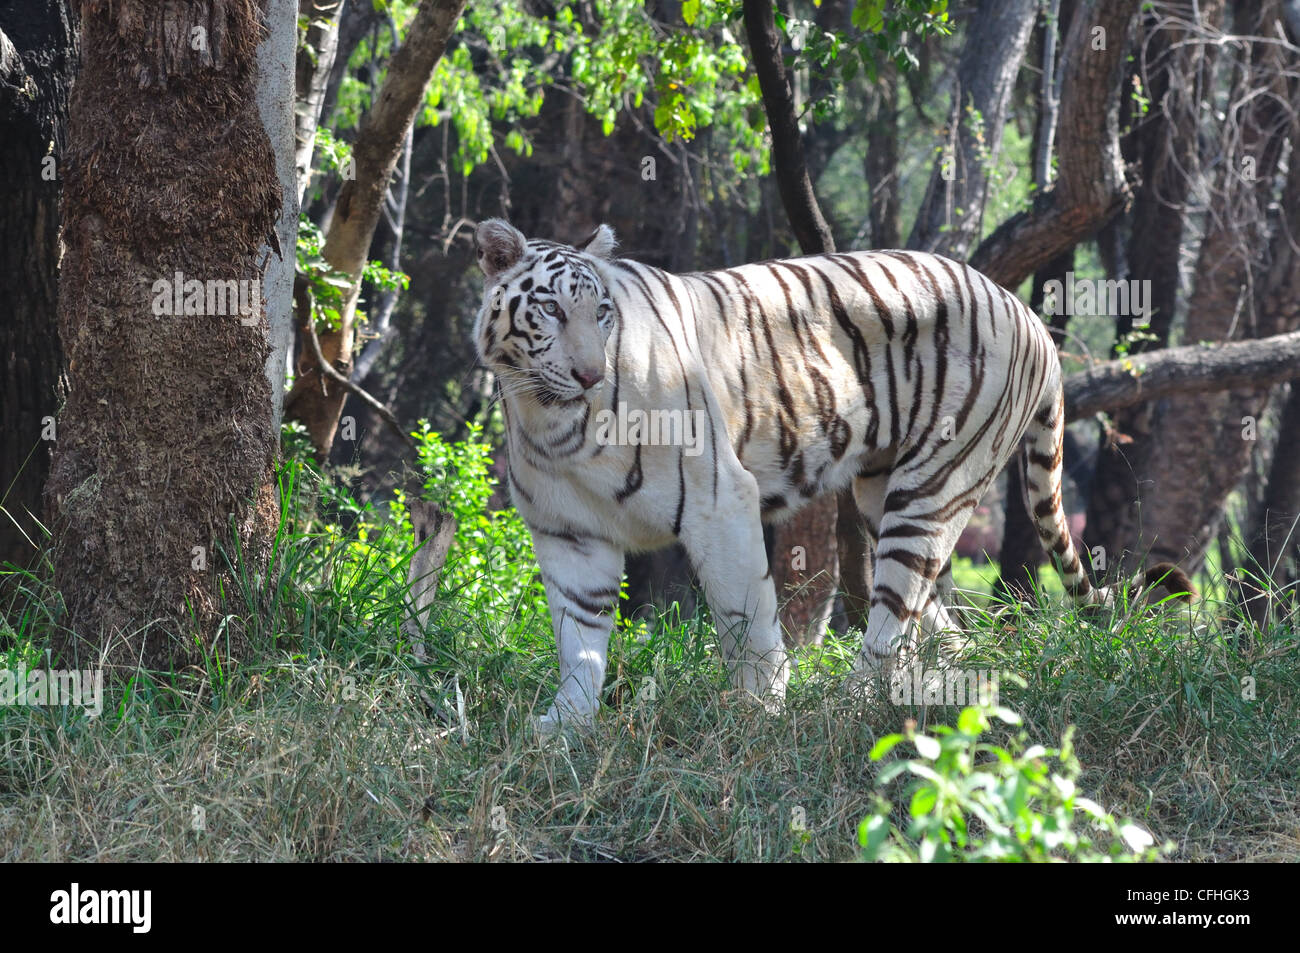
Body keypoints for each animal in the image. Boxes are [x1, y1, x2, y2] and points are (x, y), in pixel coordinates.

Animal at [471, 218, 1192, 732]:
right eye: (553, 311)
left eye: (601, 313)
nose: (591, 374)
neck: (554, 423)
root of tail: (1030, 316)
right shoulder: (569, 534)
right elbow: (579, 638)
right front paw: (564, 728)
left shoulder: (718, 503)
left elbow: (746, 619)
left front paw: (759, 711)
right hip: (880, 492)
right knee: (941, 621)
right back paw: (967, 690)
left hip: (930, 488)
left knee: (892, 618)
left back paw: (851, 707)